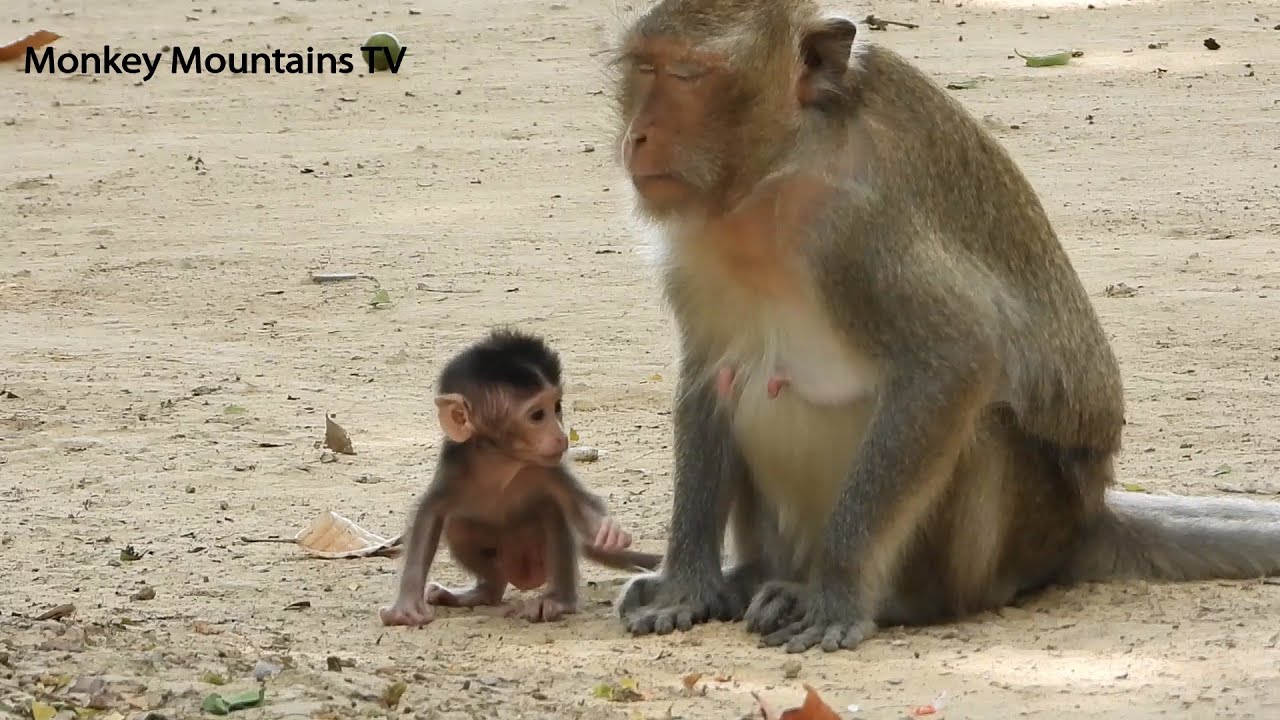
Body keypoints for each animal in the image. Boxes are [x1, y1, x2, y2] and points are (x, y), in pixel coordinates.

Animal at [379, 328, 661, 627]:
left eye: (557, 406)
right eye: (538, 415)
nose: (561, 436)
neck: (504, 461)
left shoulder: (547, 466)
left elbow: (573, 500)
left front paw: (607, 530)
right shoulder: (455, 466)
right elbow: (430, 514)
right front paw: (406, 607)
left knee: (553, 511)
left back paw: (558, 600)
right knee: (458, 525)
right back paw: (482, 592)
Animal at [607, 0, 1280, 654]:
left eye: (688, 75)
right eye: (644, 68)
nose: (638, 137)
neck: (779, 171)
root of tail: (1082, 522)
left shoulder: (860, 229)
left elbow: (957, 359)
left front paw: (838, 595)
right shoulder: (695, 242)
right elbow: (708, 373)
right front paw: (688, 587)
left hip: (1013, 536)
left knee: (983, 421)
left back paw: (896, 600)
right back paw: (751, 577)